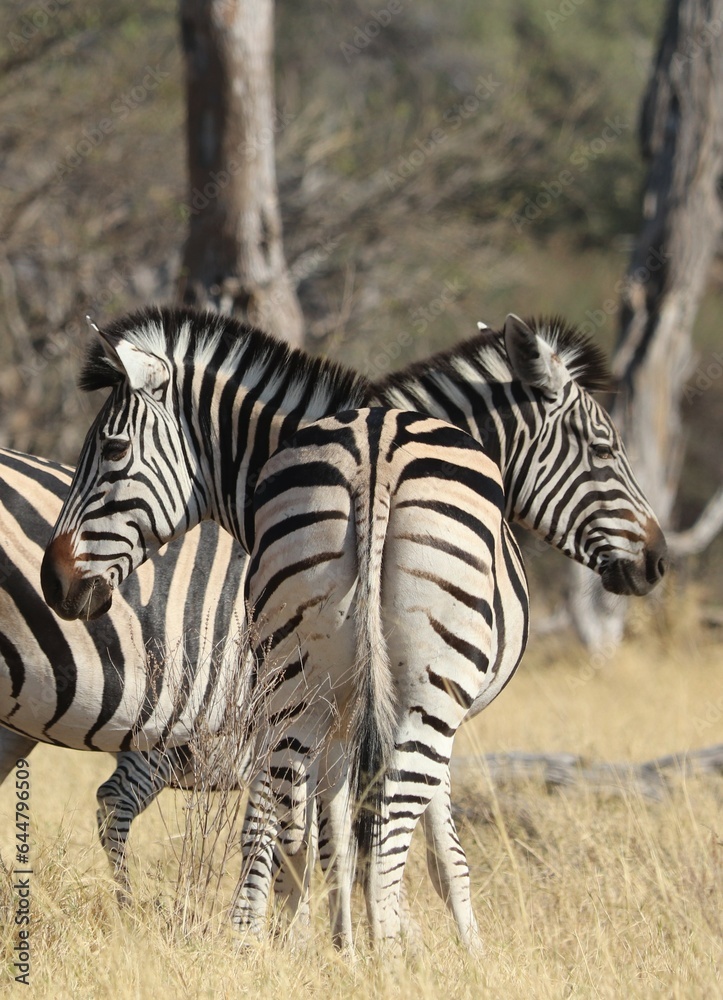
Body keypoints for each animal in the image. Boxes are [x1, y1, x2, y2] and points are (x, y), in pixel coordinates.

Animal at [40, 307, 666, 948]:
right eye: (603, 446)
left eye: (110, 447)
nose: (656, 559)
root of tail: (376, 451)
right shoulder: (433, 712)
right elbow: (433, 851)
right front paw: (454, 947)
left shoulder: (336, 711)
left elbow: (328, 835)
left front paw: (330, 940)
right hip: (419, 693)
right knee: (382, 821)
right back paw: (384, 949)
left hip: (298, 686)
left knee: (277, 806)